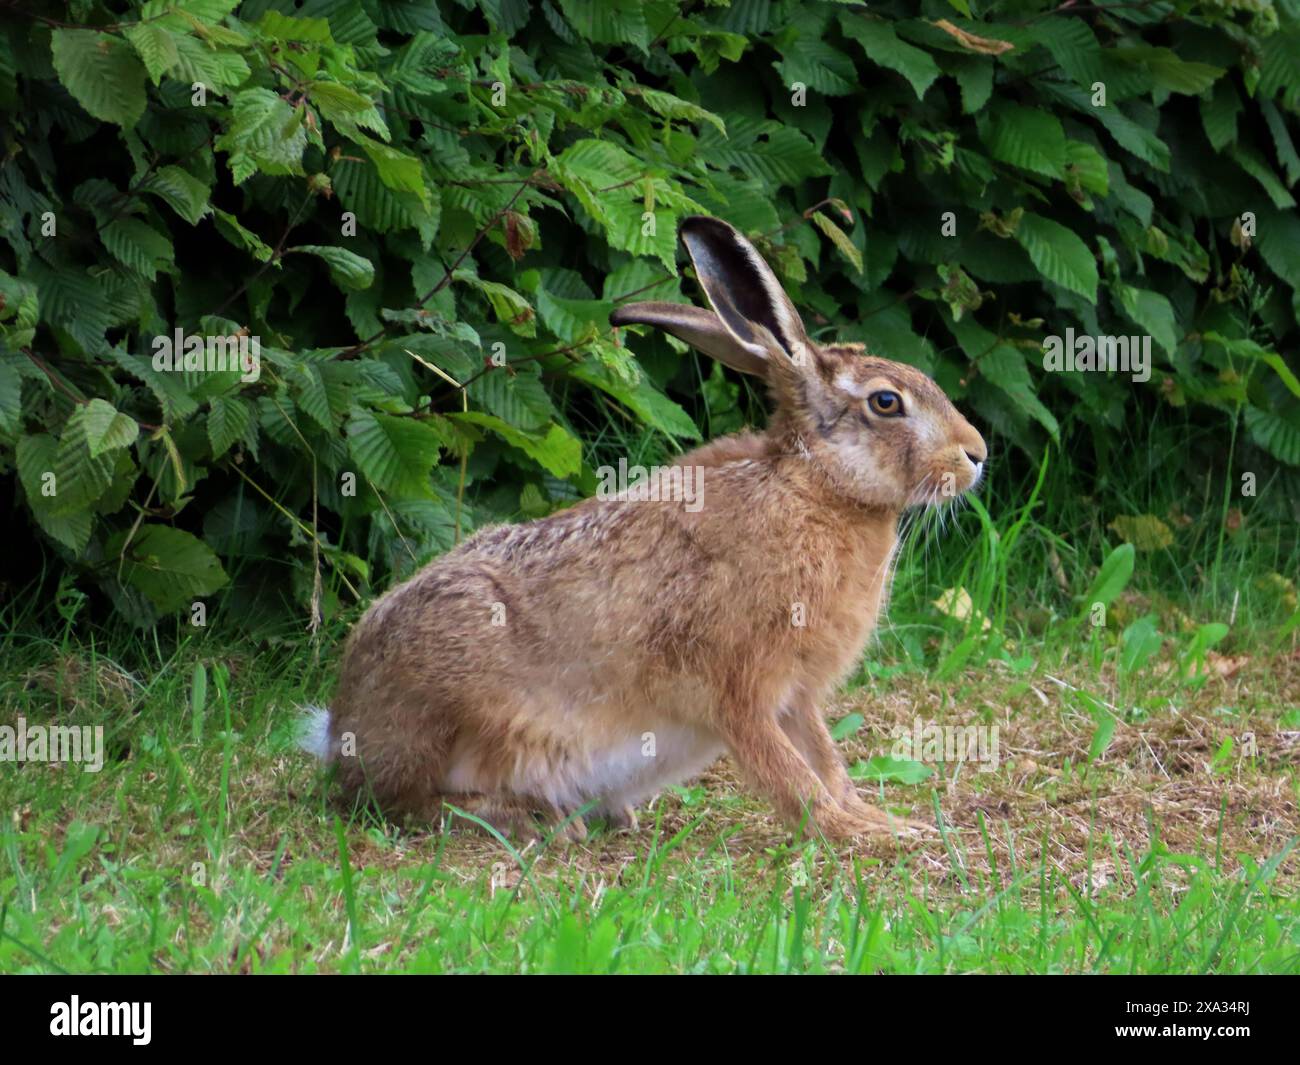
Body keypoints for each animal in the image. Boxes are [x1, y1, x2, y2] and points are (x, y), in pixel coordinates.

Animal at [301, 215, 987, 843]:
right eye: (886, 403)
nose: (976, 454)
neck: (816, 485)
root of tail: (340, 733)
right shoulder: (739, 687)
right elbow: (789, 772)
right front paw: (864, 833)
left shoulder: (797, 696)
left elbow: (825, 759)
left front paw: (881, 820)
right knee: (403, 803)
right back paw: (533, 818)